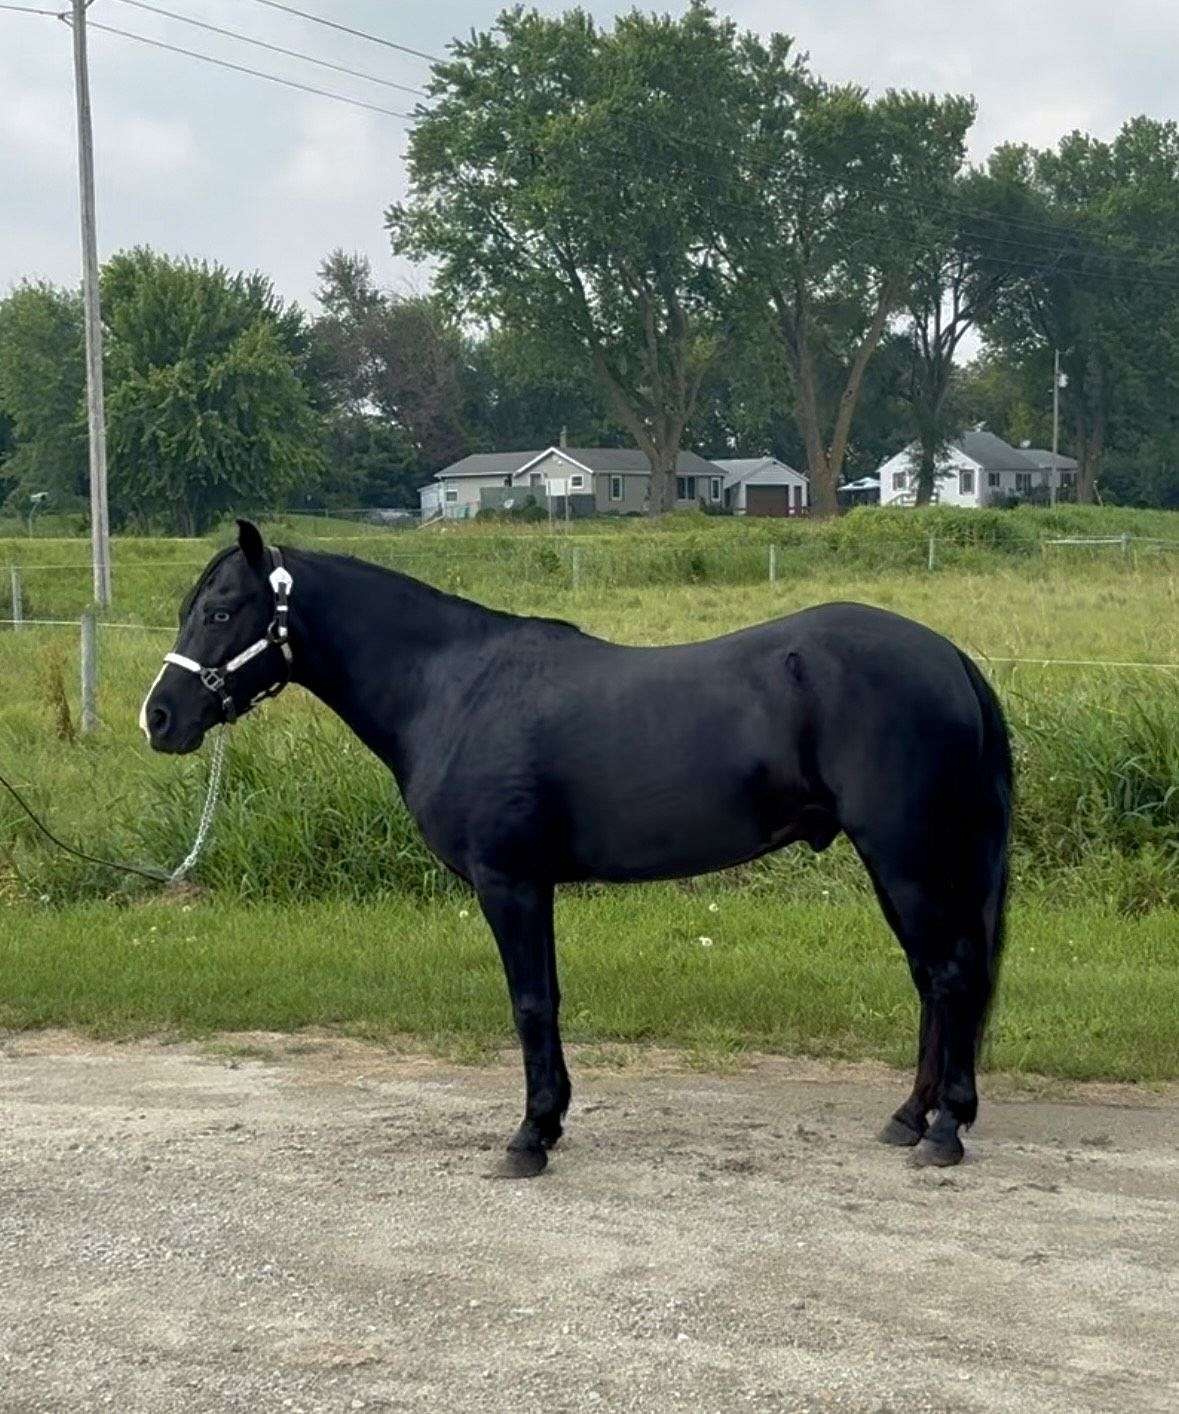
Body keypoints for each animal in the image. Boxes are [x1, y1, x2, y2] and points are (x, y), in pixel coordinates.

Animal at [142, 520, 1012, 1176]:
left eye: (221, 611)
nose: (159, 717)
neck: (452, 688)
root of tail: (948, 658)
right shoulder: (531, 884)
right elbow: (545, 999)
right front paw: (548, 1123)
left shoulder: (509, 882)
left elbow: (531, 1002)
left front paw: (530, 1137)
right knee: (931, 981)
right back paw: (909, 1116)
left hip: (904, 854)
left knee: (950, 976)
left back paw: (943, 1130)